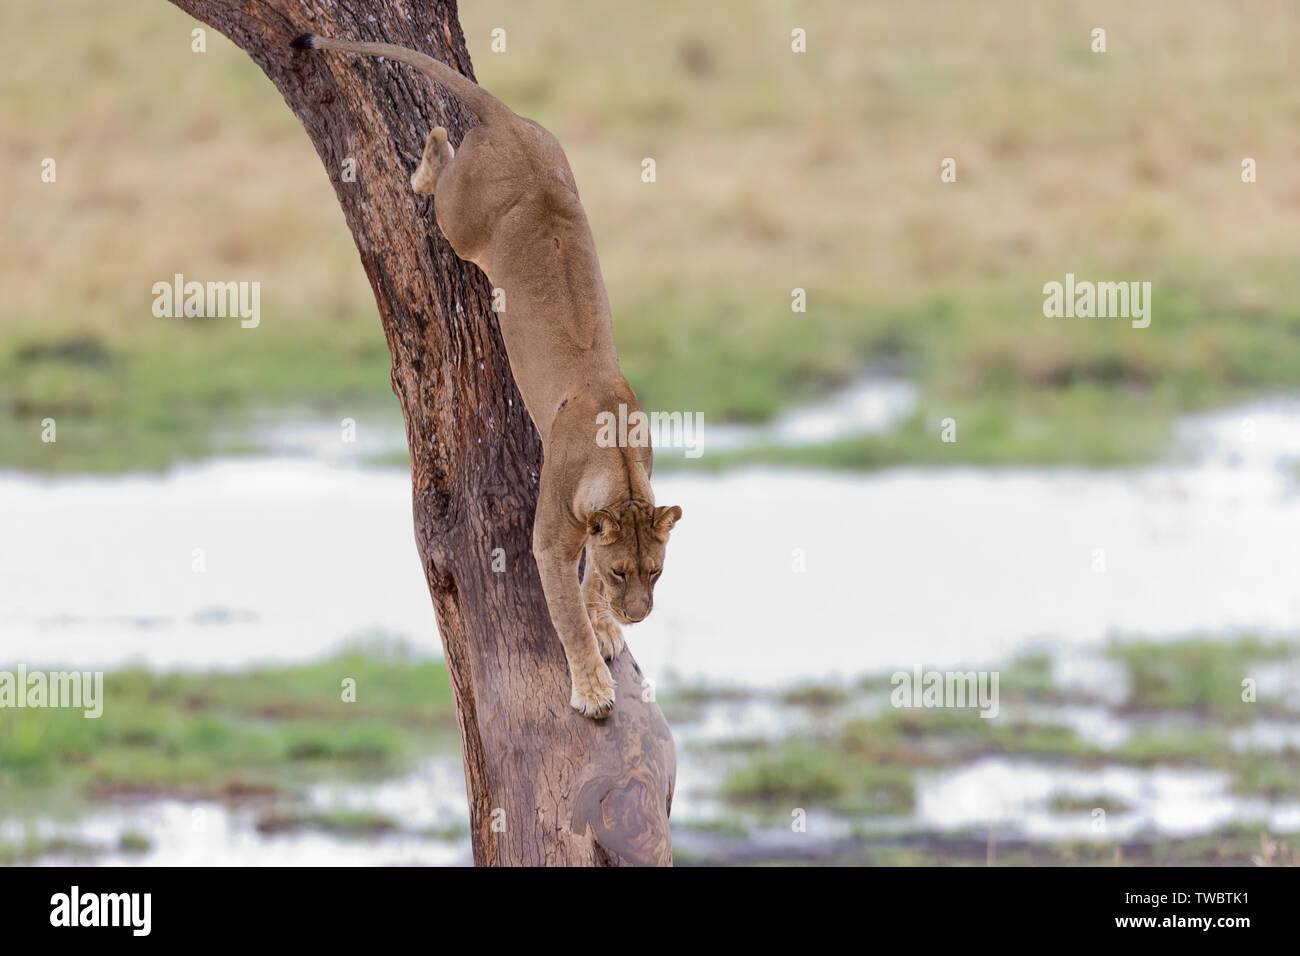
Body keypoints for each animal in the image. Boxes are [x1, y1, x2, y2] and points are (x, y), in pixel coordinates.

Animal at [291, 33, 682, 718]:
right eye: (623, 573)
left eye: (654, 572)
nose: (638, 616)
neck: (620, 469)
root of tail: (505, 122)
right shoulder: (548, 537)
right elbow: (567, 616)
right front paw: (593, 686)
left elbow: (582, 596)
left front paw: (606, 629)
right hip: (462, 221)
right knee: (439, 166)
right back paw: (429, 156)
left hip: (557, 160)